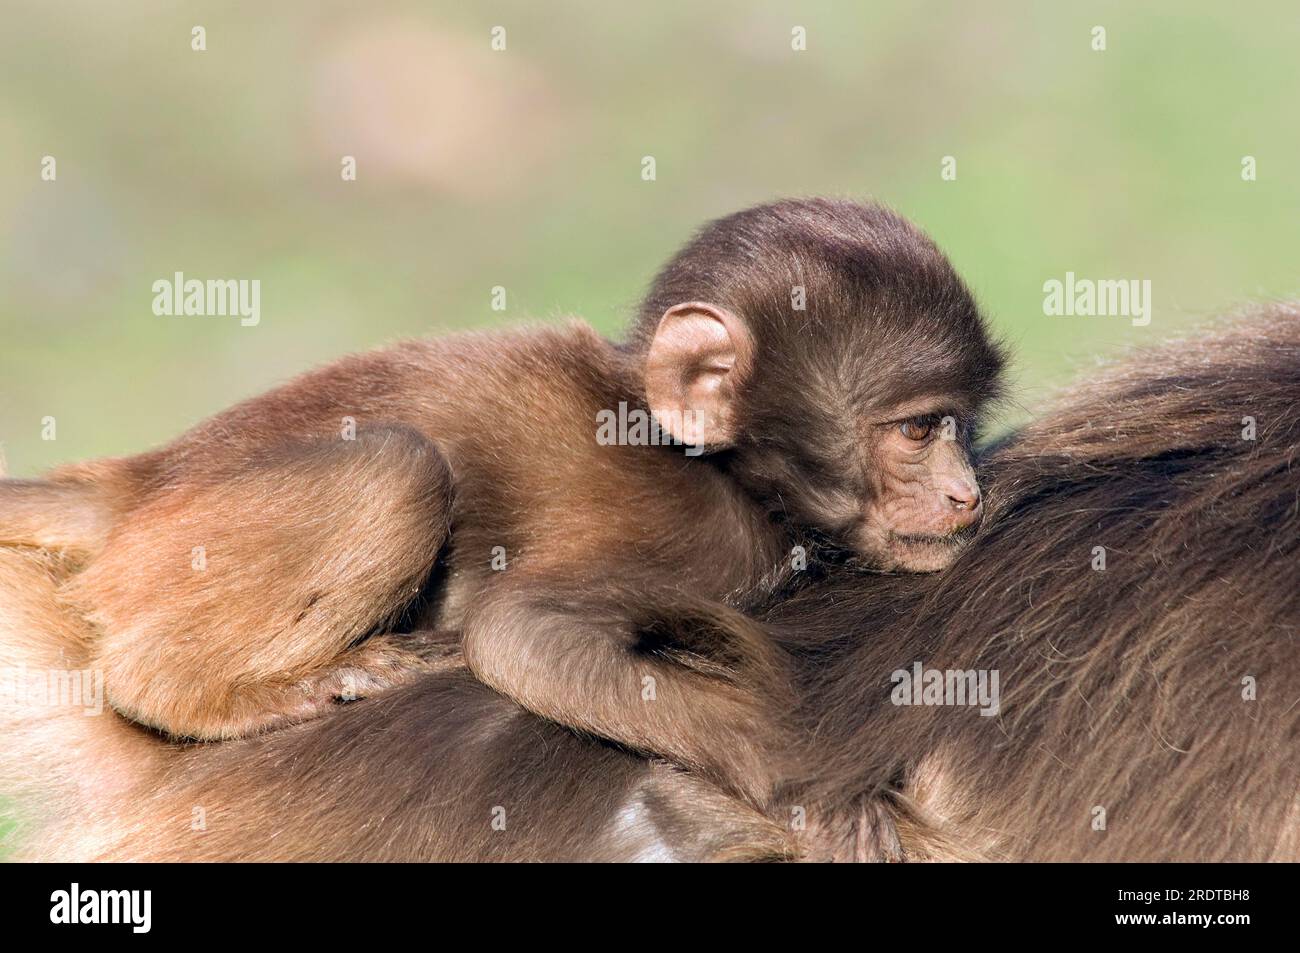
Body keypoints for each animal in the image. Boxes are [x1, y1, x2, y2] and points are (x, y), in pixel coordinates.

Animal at [0, 198, 1004, 806]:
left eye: (961, 425)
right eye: (919, 429)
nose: (965, 493)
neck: (709, 461)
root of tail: (144, 478)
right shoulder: (703, 541)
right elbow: (521, 633)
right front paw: (794, 778)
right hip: (183, 544)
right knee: (396, 467)